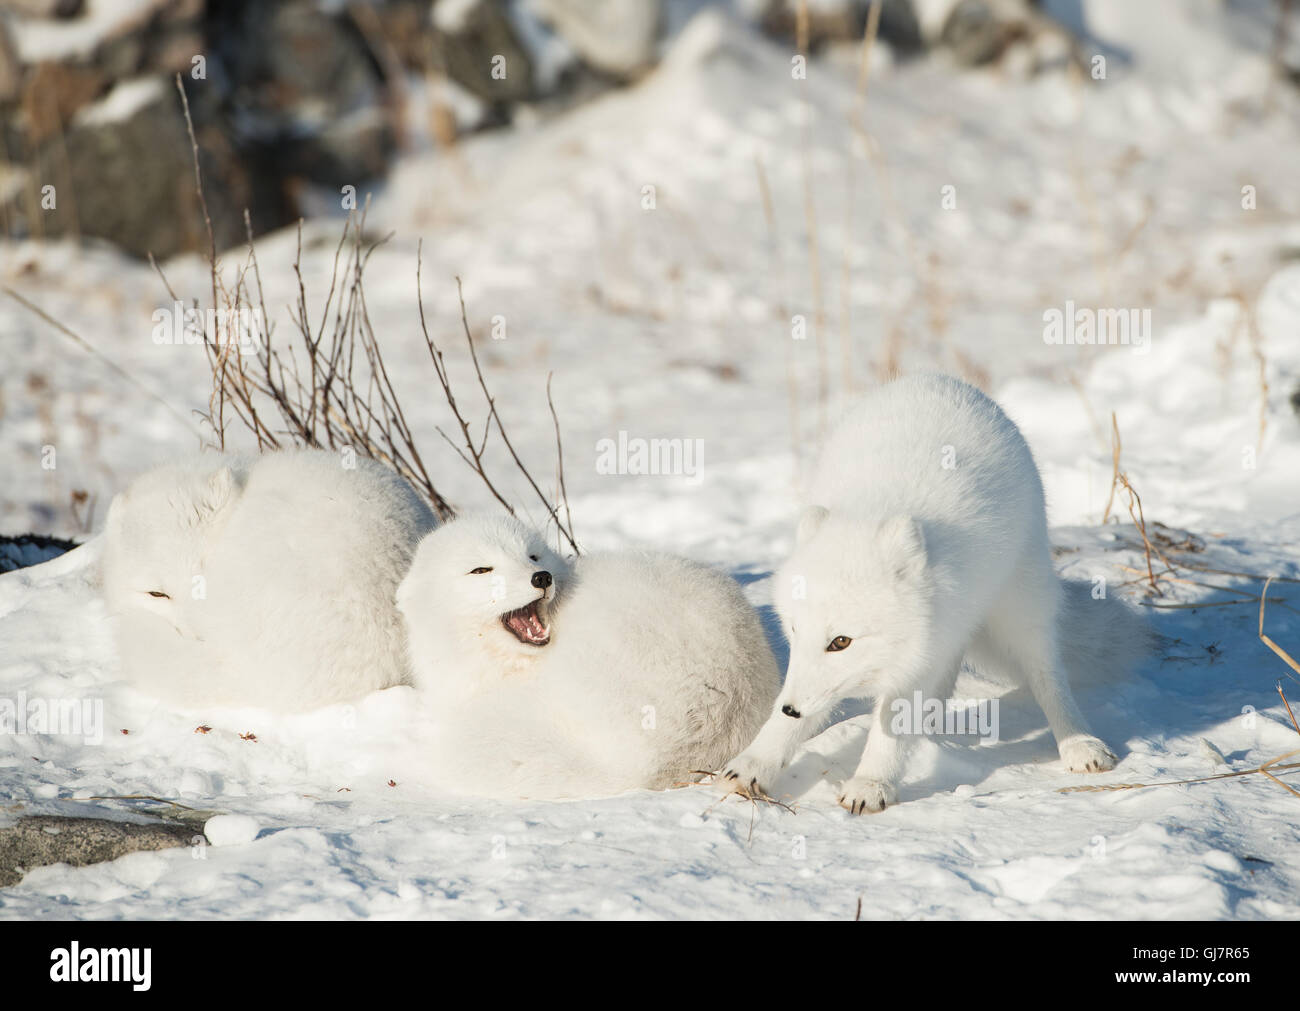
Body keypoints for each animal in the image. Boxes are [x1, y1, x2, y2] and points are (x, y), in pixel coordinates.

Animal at [719, 372, 1148, 814]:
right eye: (794, 631)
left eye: (841, 642)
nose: (791, 708)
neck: (873, 511)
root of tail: (938, 378)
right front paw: (755, 763)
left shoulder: (918, 655)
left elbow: (890, 726)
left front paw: (871, 784)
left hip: (1021, 601)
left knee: (1047, 672)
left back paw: (1080, 742)